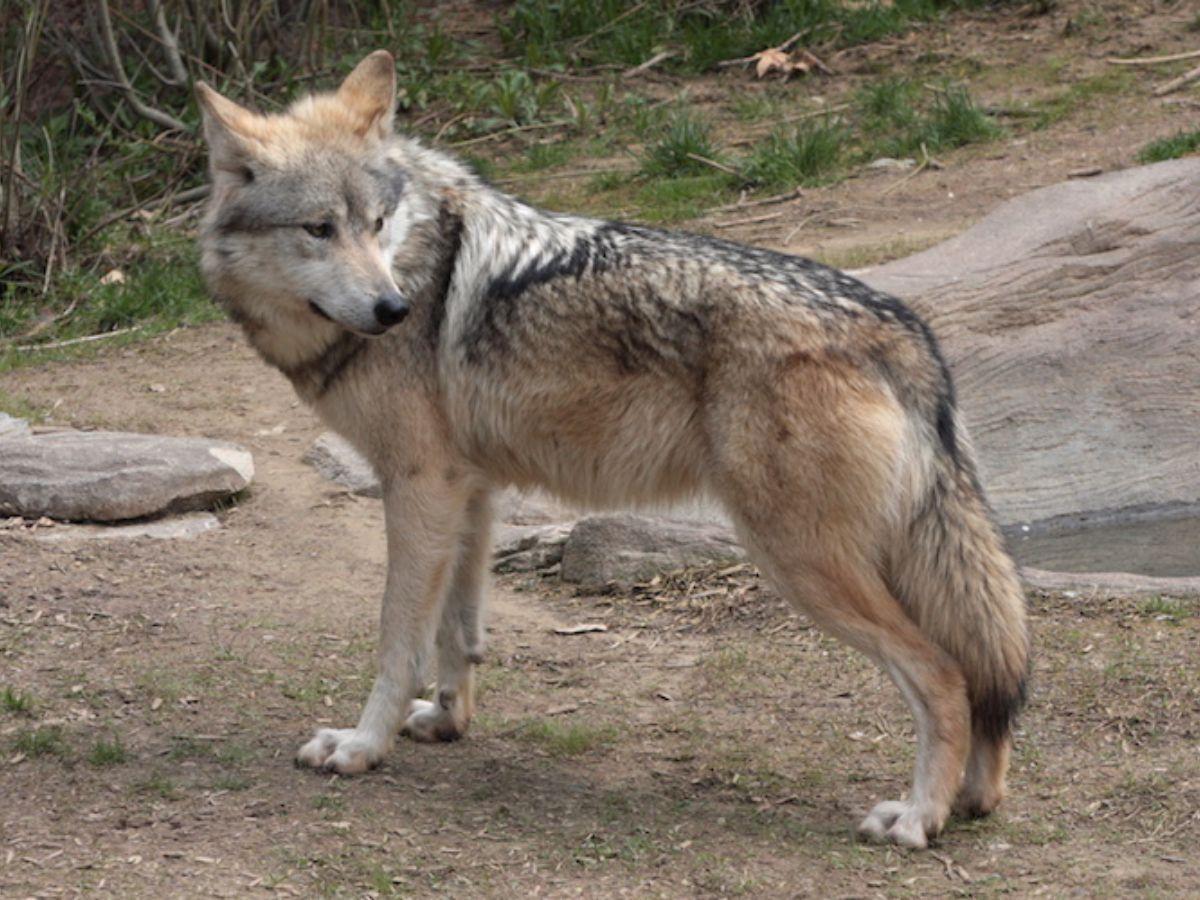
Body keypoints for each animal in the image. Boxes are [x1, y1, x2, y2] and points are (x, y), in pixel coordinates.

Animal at [195, 51, 1029, 849]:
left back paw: (918, 817)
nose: (392, 308)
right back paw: (974, 798)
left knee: (945, 675)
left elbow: (399, 639)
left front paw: (364, 746)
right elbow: (459, 633)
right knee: (986, 671)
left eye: (375, 222)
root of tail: (904, 327)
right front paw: (445, 720)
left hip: (800, 560)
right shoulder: (470, 490)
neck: (419, 254)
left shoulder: (418, 485)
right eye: (319, 229)